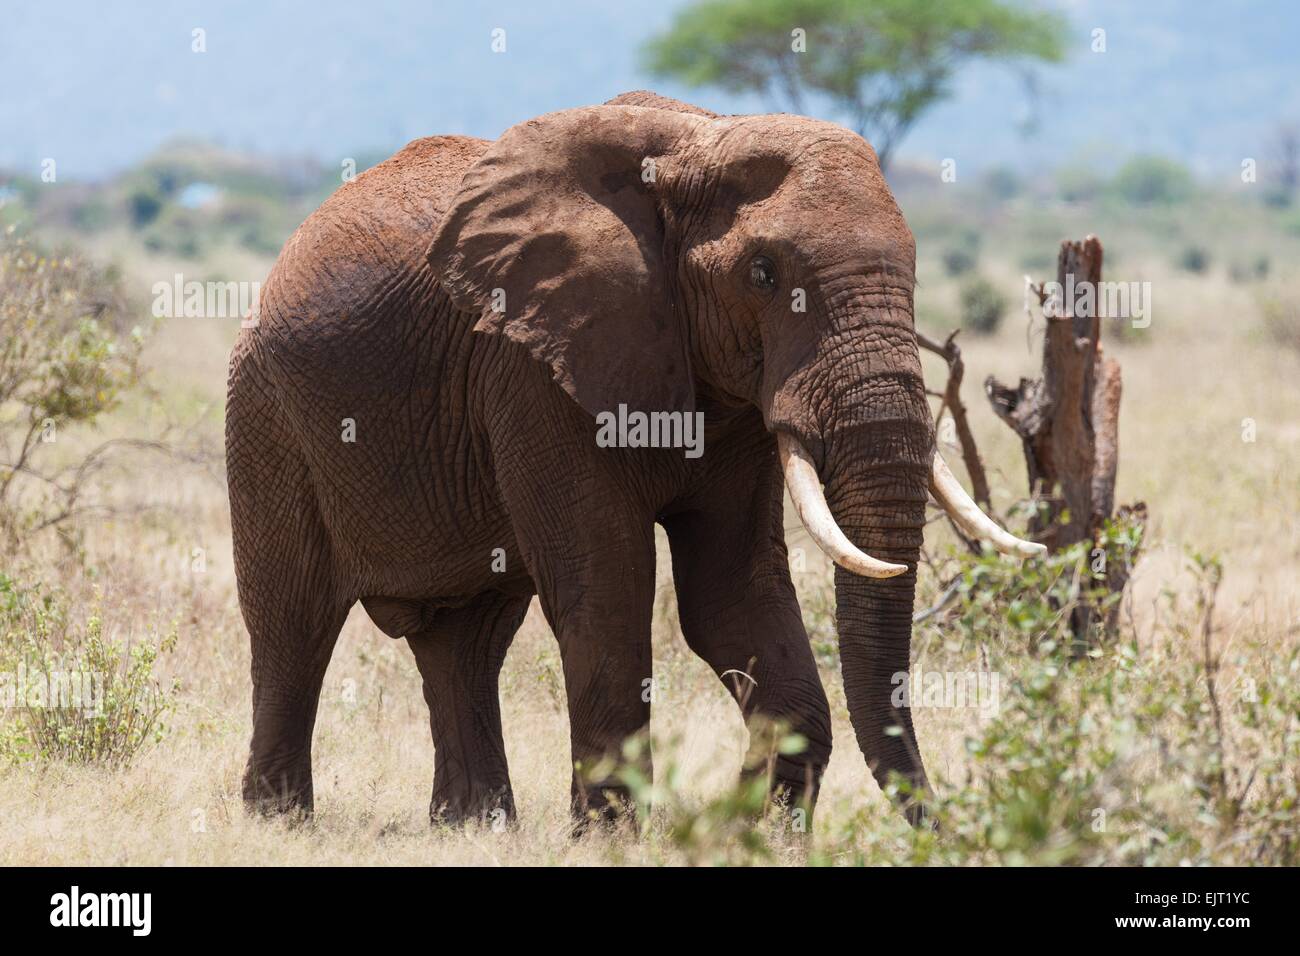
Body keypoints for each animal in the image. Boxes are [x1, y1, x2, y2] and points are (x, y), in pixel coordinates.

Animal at [225, 89, 1041, 827]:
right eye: (764, 274)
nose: (943, 824)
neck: (701, 142)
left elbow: (728, 591)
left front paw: (756, 833)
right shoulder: (534, 367)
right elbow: (605, 587)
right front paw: (612, 837)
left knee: (467, 638)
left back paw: (473, 826)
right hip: (264, 411)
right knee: (292, 621)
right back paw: (279, 822)